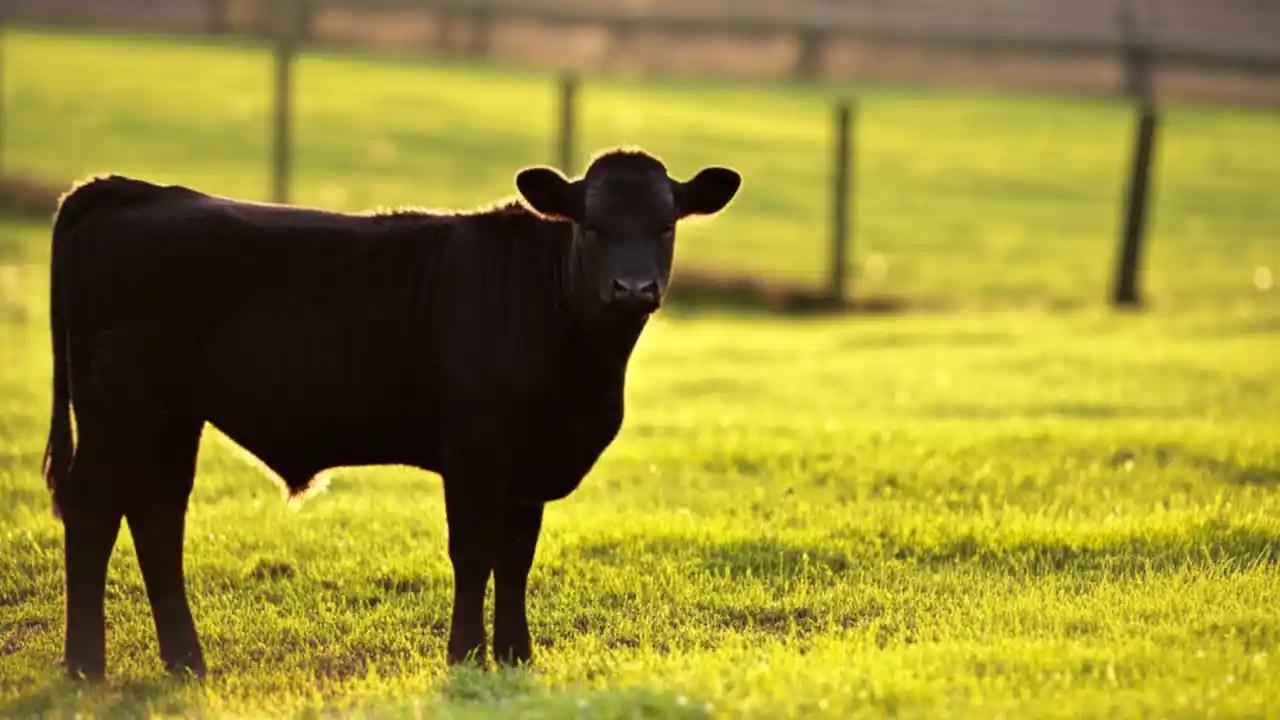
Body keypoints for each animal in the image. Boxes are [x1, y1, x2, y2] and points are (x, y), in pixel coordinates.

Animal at [42, 149, 741, 679]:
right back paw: (85, 665)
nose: (634, 289)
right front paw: (466, 656)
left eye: (666, 226)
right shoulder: (476, 450)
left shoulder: (529, 467)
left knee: (156, 515)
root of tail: (131, 191)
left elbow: (516, 557)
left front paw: (515, 657)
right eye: (593, 226)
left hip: (169, 417)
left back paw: (185, 661)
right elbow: (475, 552)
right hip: (120, 410)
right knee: (95, 511)